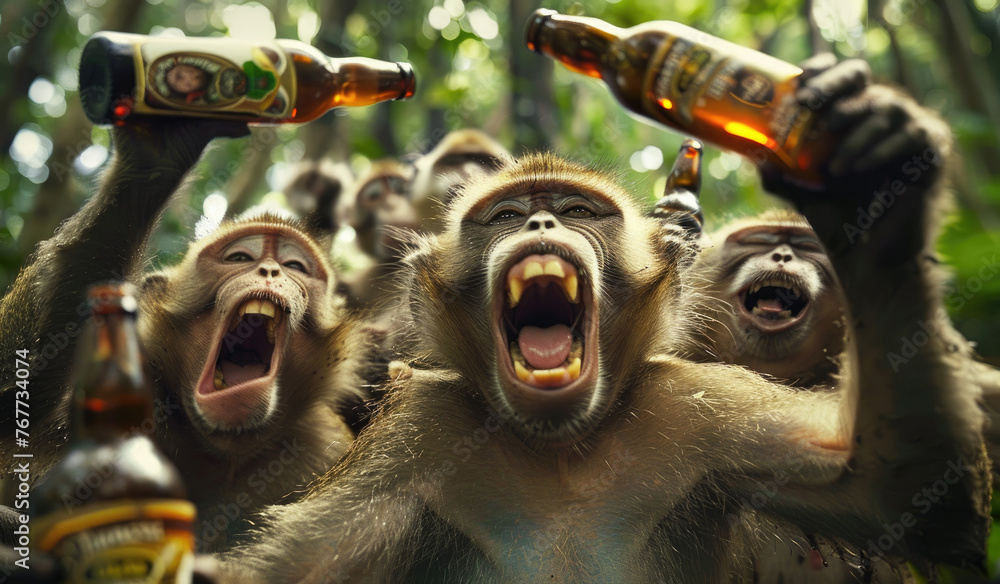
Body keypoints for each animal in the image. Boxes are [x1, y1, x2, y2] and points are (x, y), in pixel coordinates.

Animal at [0, 120, 374, 554]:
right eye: (240, 258)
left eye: (295, 266)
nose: (271, 271)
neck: (226, 450)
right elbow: (15, 409)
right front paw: (153, 159)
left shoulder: (323, 445)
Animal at [217, 59, 988, 583]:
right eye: (504, 215)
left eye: (579, 211)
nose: (540, 221)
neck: (562, 443)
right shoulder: (419, 436)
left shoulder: (695, 405)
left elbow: (895, 487)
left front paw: (865, 175)